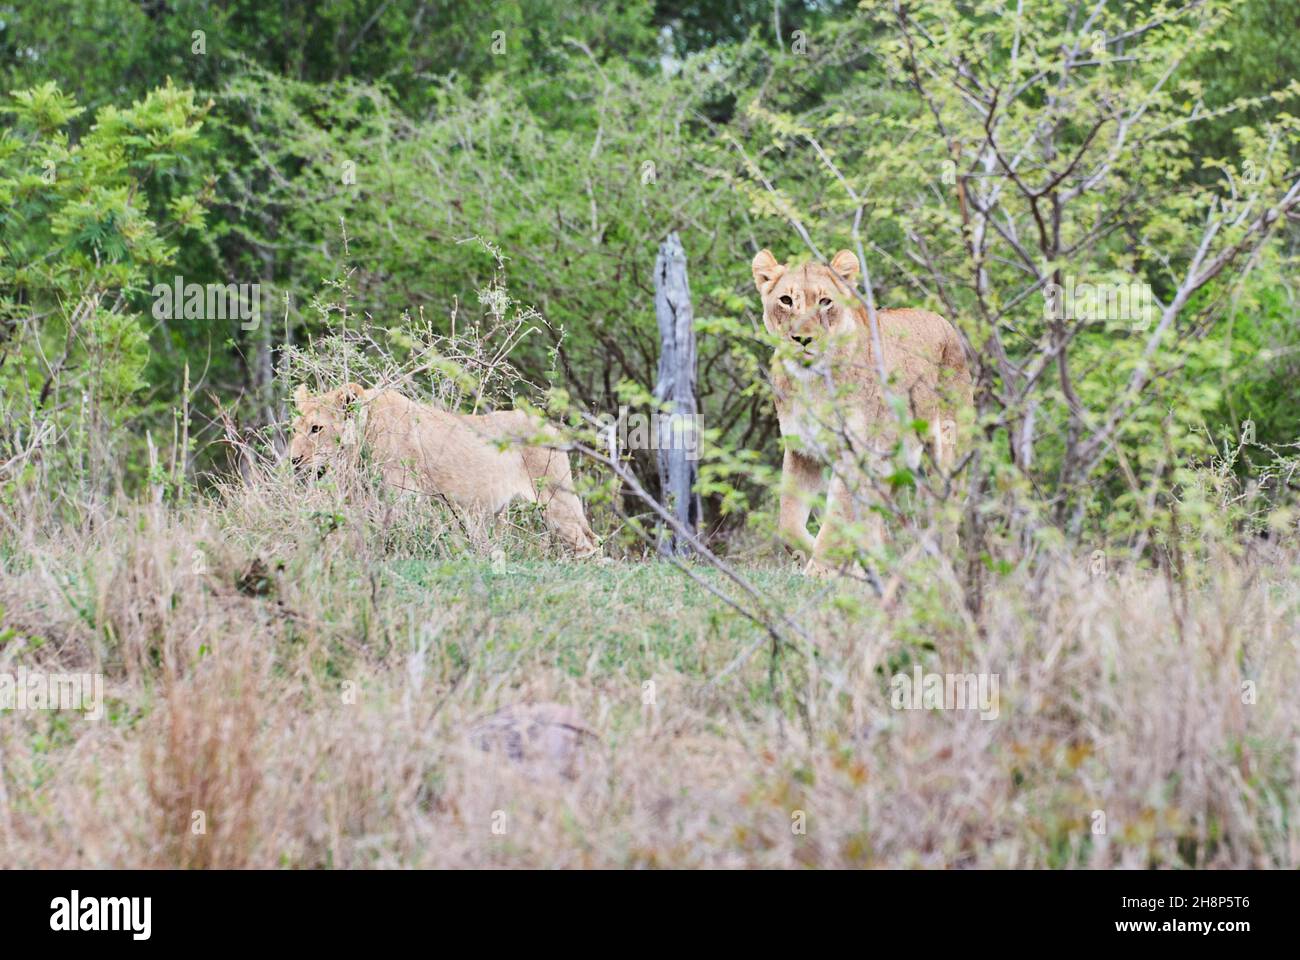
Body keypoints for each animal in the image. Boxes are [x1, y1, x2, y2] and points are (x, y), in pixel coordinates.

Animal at [289, 383, 598, 557]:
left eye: (316, 428)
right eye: (295, 428)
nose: (293, 460)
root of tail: (551, 428)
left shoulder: (399, 494)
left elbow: (388, 534)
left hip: (556, 502)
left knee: (588, 544)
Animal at [751, 248, 973, 575]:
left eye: (825, 302)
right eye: (786, 300)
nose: (803, 340)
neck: (811, 380)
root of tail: (944, 321)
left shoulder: (854, 453)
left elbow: (837, 518)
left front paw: (820, 570)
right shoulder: (801, 450)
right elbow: (788, 522)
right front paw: (813, 555)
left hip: (946, 455)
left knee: (945, 522)